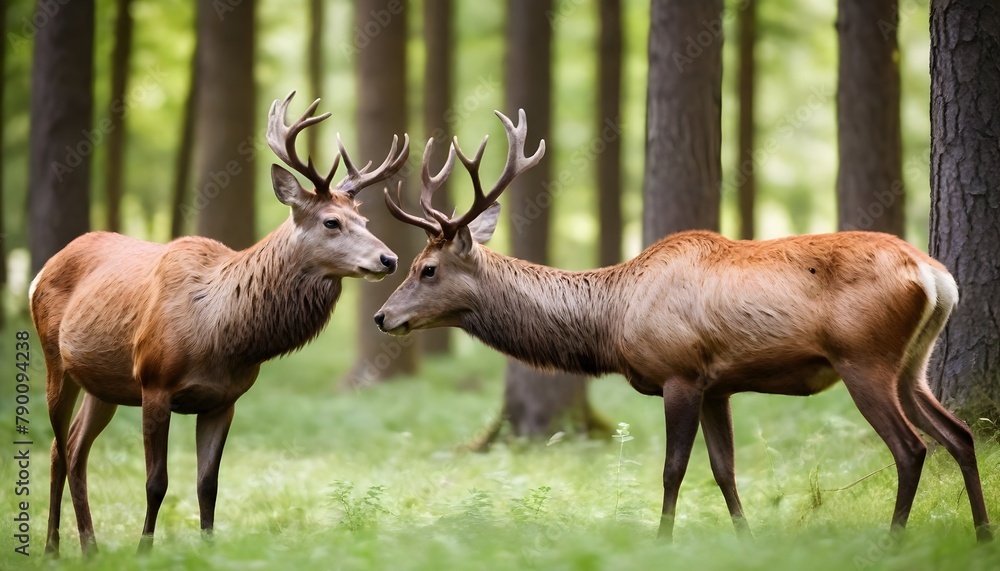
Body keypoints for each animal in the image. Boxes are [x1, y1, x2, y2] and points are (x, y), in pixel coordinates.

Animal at [29, 91, 409, 556]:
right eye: (331, 221)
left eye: (366, 222)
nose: (389, 259)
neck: (220, 335)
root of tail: (41, 271)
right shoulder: (154, 381)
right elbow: (156, 482)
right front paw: (144, 551)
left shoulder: (224, 400)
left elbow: (207, 483)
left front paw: (208, 549)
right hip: (55, 360)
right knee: (58, 451)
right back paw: (52, 548)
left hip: (103, 385)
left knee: (73, 448)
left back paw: (90, 547)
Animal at [374, 109, 993, 543]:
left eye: (427, 268)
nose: (383, 316)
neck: (612, 321)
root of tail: (935, 275)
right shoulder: (720, 384)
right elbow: (725, 470)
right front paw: (744, 540)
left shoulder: (681, 373)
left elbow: (674, 469)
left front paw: (663, 540)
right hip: (913, 363)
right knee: (960, 434)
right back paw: (983, 534)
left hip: (865, 358)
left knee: (912, 448)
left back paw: (893, 540)